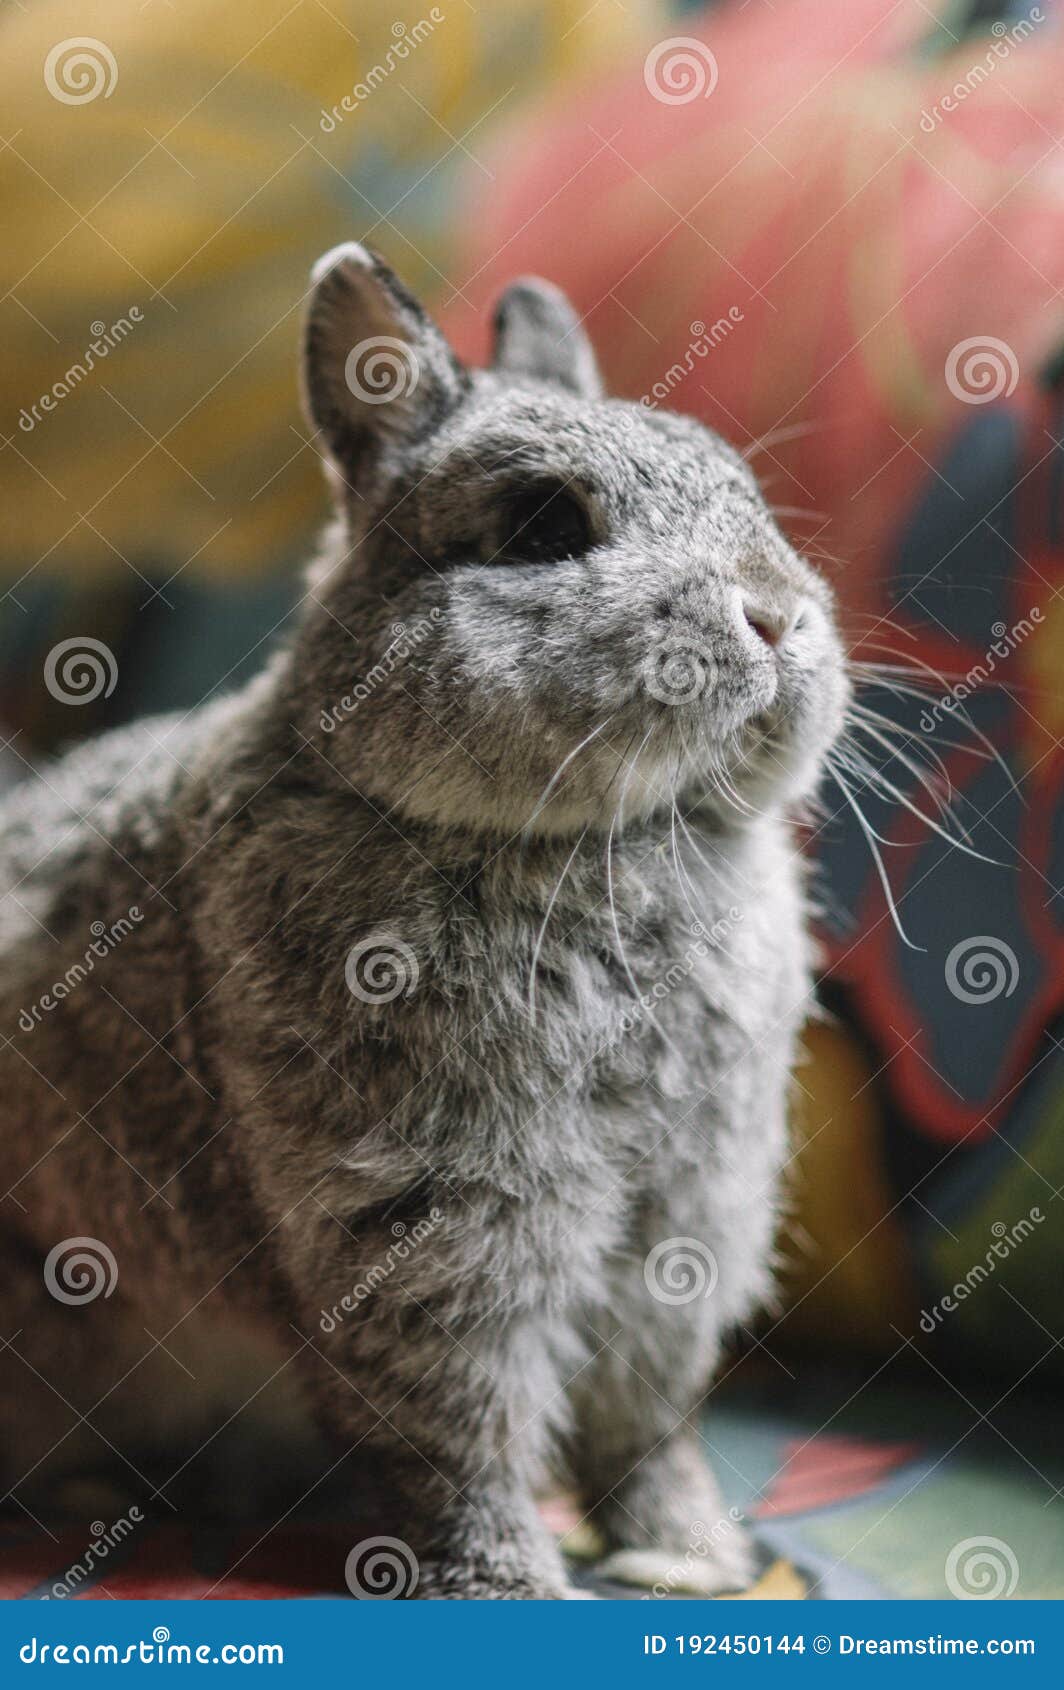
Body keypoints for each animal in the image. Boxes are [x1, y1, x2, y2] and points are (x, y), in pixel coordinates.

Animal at [0, 243, 849, 1598]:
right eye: (545, 525)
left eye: (747, 492)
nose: (775, 616)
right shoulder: (435, 1226)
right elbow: (464, 1437)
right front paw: (510, 1586)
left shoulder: (680, 1227)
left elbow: (642, 1426)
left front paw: (688, 1560)